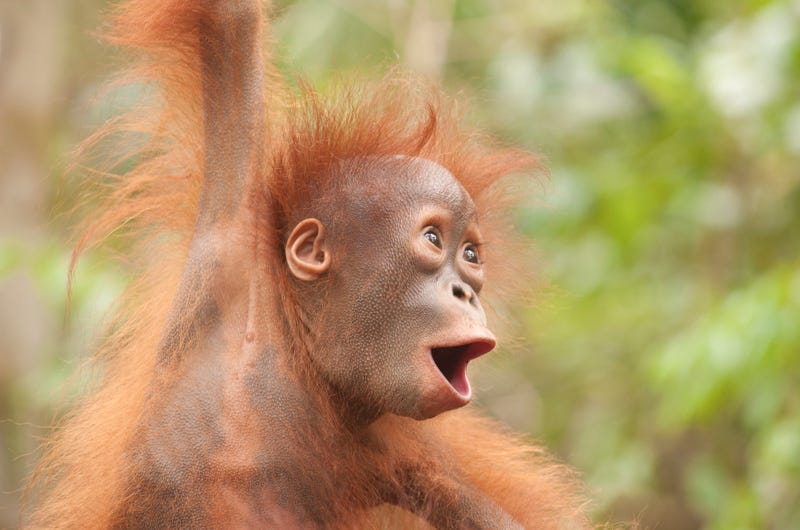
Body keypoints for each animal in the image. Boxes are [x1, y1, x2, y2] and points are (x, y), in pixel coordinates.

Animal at [26, 0, 592, 528]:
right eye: (434, 239)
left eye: (471, 255)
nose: (467, 292)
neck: (302, 359)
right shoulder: (235, 245)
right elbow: (231, 26)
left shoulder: (395, 450)